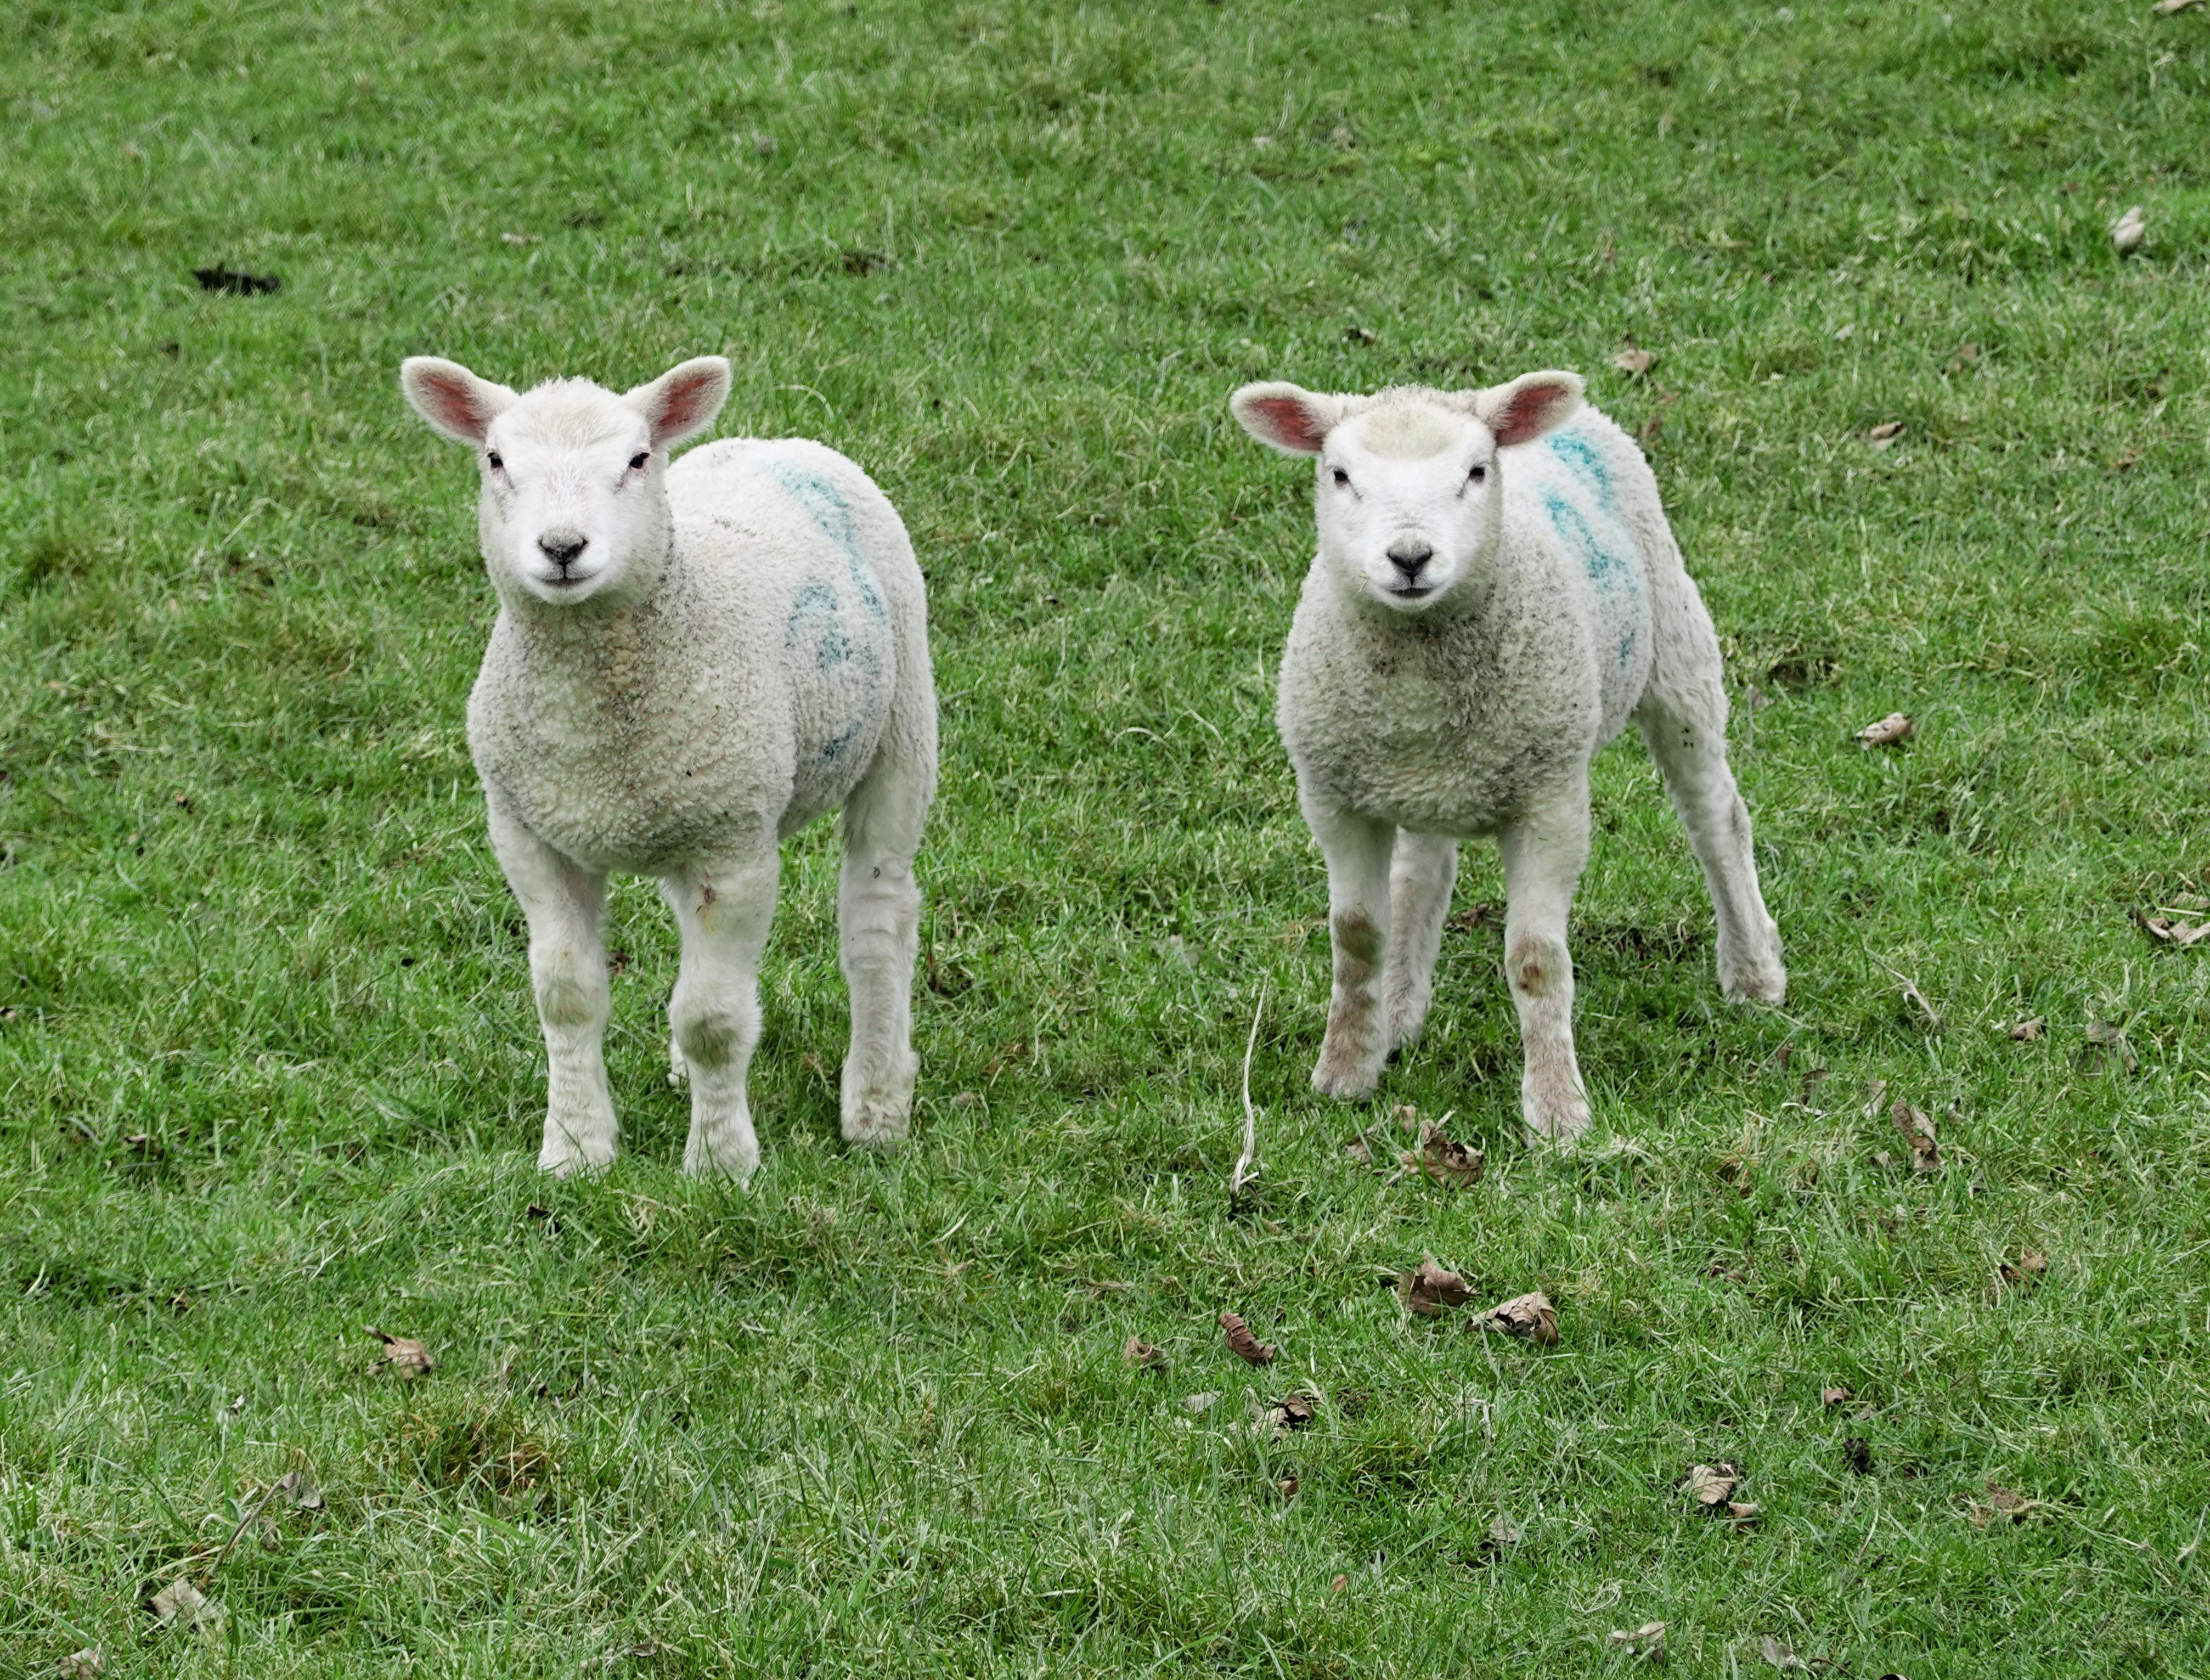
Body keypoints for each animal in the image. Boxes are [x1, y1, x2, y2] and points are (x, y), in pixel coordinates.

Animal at [400, 354, 937, 1181]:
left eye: (636, 459)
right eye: (495, 461)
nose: (562, 547)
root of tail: (779, 440)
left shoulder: (736, 845)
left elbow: (712, 1017)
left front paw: (719, 1164)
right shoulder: (529, 836)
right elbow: (567, 996)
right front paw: (575, 1149)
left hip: (901, 718)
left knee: (878, 915)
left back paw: (876, 1104)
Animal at [1230, 370, 1784, 1139]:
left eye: (1475, 471)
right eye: (1339, 475)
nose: (1409, 557)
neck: (1418, 666)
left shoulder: (1550, 802)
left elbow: (1534, 959)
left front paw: (1556, 1109)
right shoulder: (1335, 797)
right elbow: (1356, 938)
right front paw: (1344, 1072)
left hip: (1677, 655)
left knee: (1716, 818)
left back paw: (1754, 971)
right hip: (1422, 782)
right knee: (1421, 874)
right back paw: (1398, 1011)